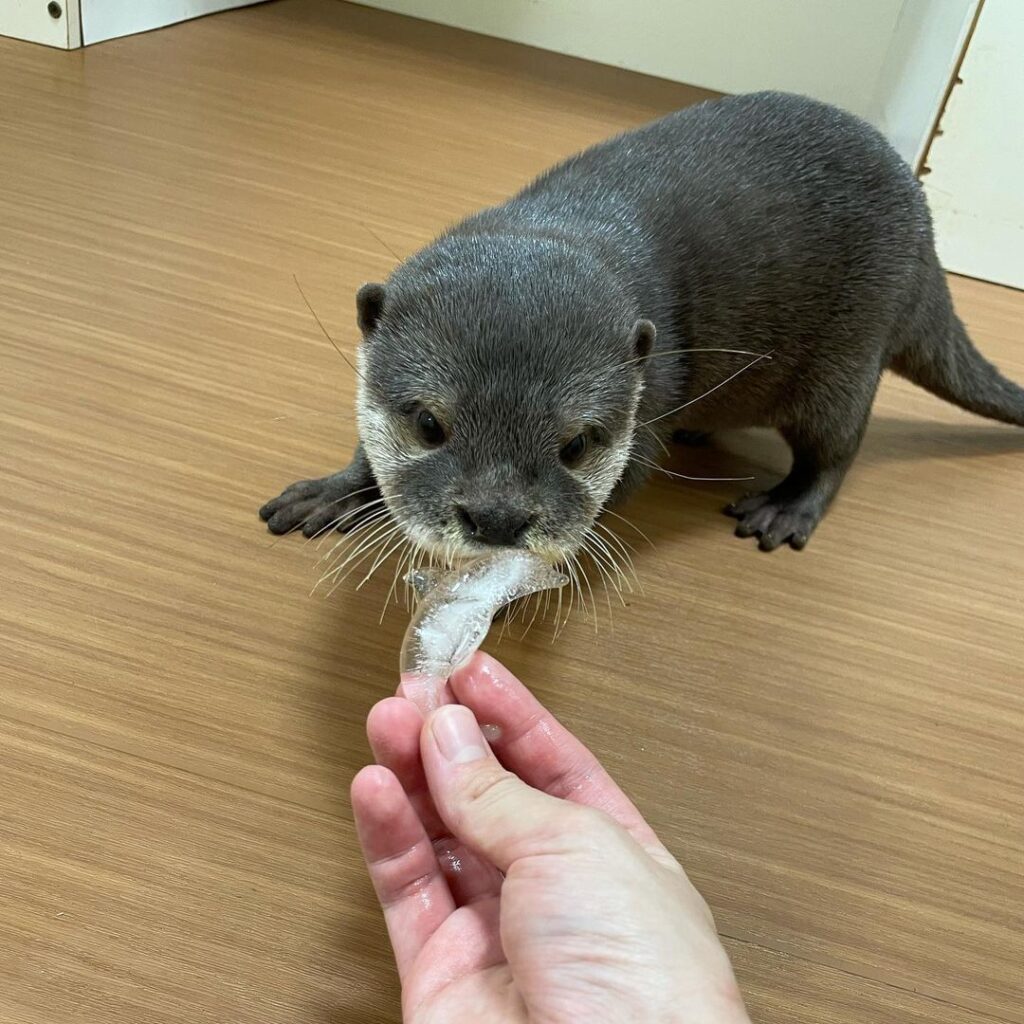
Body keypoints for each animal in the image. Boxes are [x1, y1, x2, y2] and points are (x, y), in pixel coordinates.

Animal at [260, 91, 1024, 556]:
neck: (565, 223)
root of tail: (926, 235)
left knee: (836, 445)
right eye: (427, 424)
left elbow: (628, 481)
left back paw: (786, 508)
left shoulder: (648, 394)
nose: (498, 520)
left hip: (851, 345)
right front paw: (333, 490)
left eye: (577, 444)